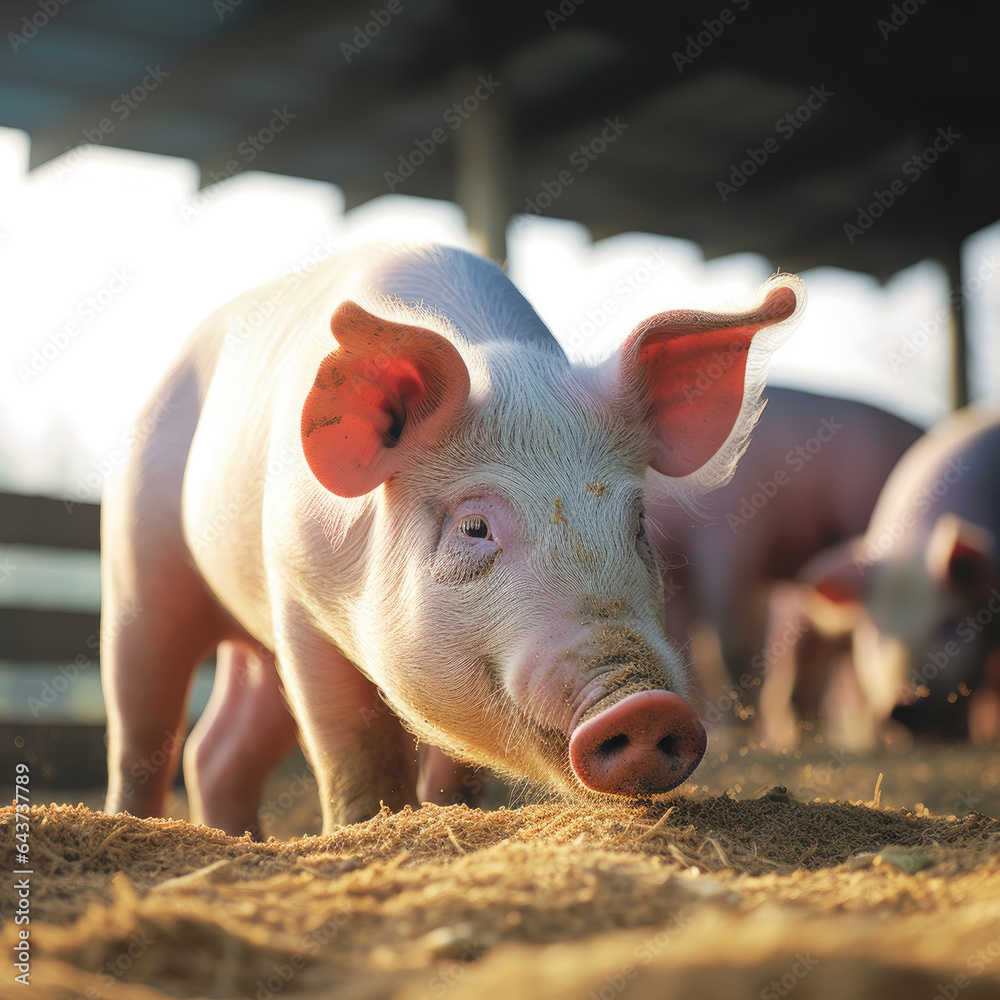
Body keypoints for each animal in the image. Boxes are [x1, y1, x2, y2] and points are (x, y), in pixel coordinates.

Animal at [100, 243, 804, 835]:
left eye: (636, 524)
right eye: (474, 528)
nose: (648, 703)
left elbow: (456, 766)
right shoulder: (295, 591)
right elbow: (355, 748)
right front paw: (365, 830)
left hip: (250, 638)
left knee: (214, 751)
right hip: (139, 566)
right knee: (142, 726)